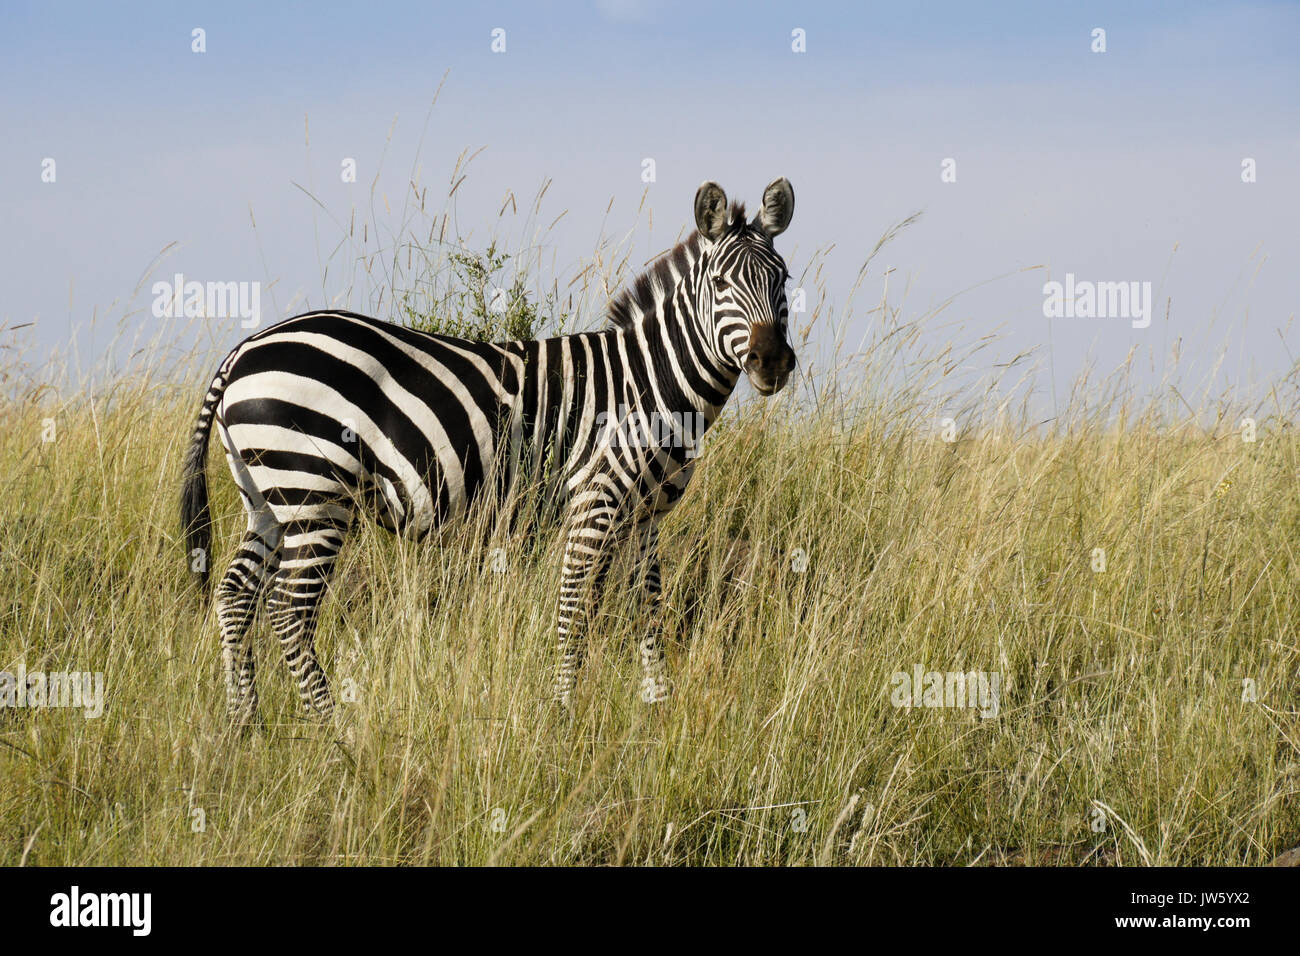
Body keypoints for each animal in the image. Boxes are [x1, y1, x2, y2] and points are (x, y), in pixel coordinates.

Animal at [180, 178, 796, 722]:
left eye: (784, 281)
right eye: (721, 285)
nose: (772, 362)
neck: (649, 382)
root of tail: (244, 349)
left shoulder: (643, 515)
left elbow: (649, 613)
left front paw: (657, 710)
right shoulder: (596, 500)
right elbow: (574, 611)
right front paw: (561, 718)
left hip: (268, 499)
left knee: (235, 596)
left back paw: (247, 727)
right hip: (314, 493)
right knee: (288, 612)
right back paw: (333, 736)